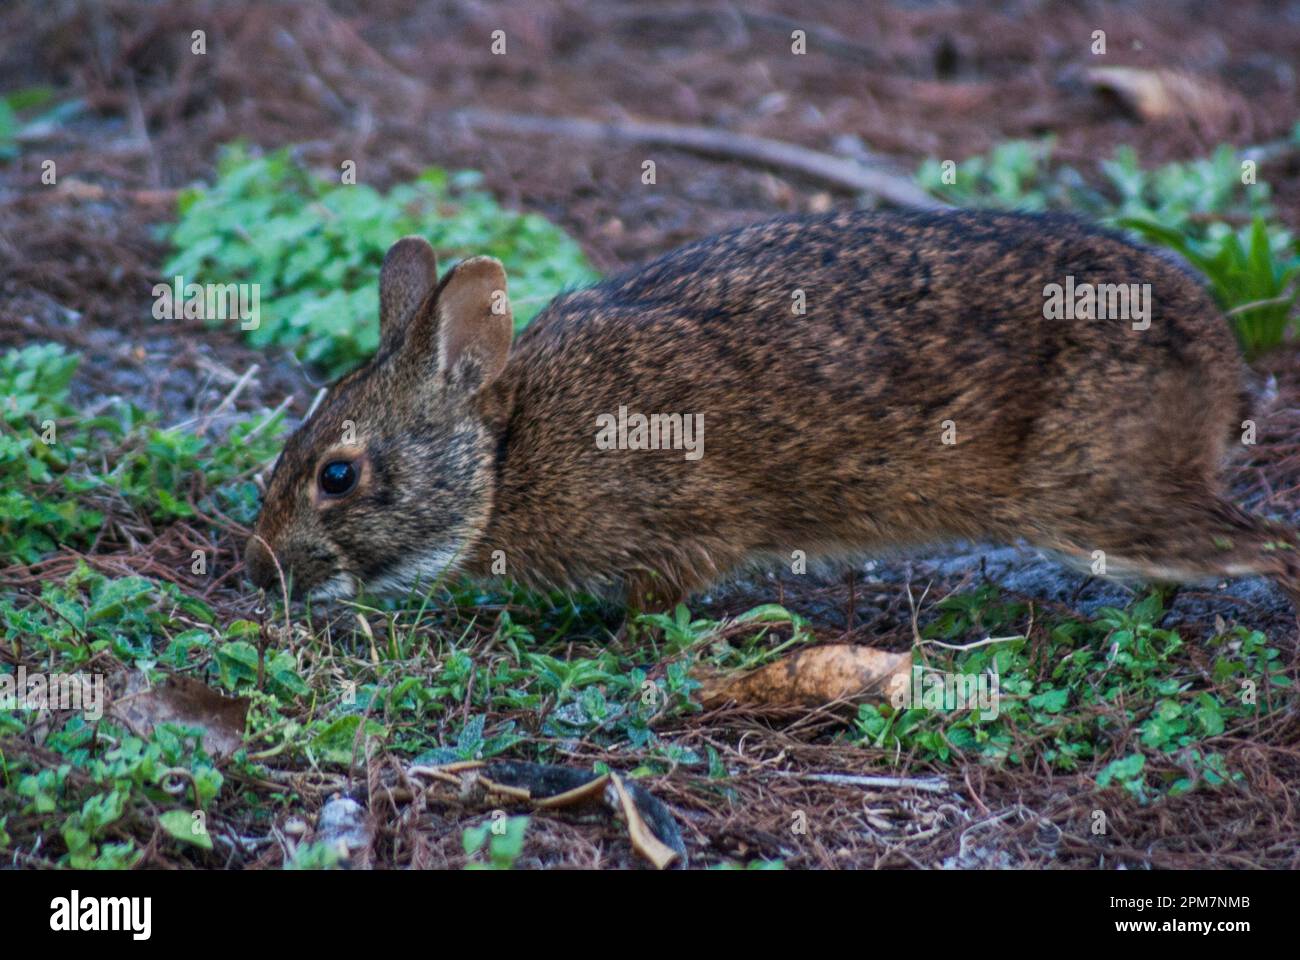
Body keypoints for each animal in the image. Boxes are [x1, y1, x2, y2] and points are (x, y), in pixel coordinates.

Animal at [244, 208, 1300, 616]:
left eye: (338, 475)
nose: (258, 572)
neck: (505, 456)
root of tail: (1217, 353)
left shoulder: (688, 523)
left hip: (1101, 498)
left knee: (1263, 549)